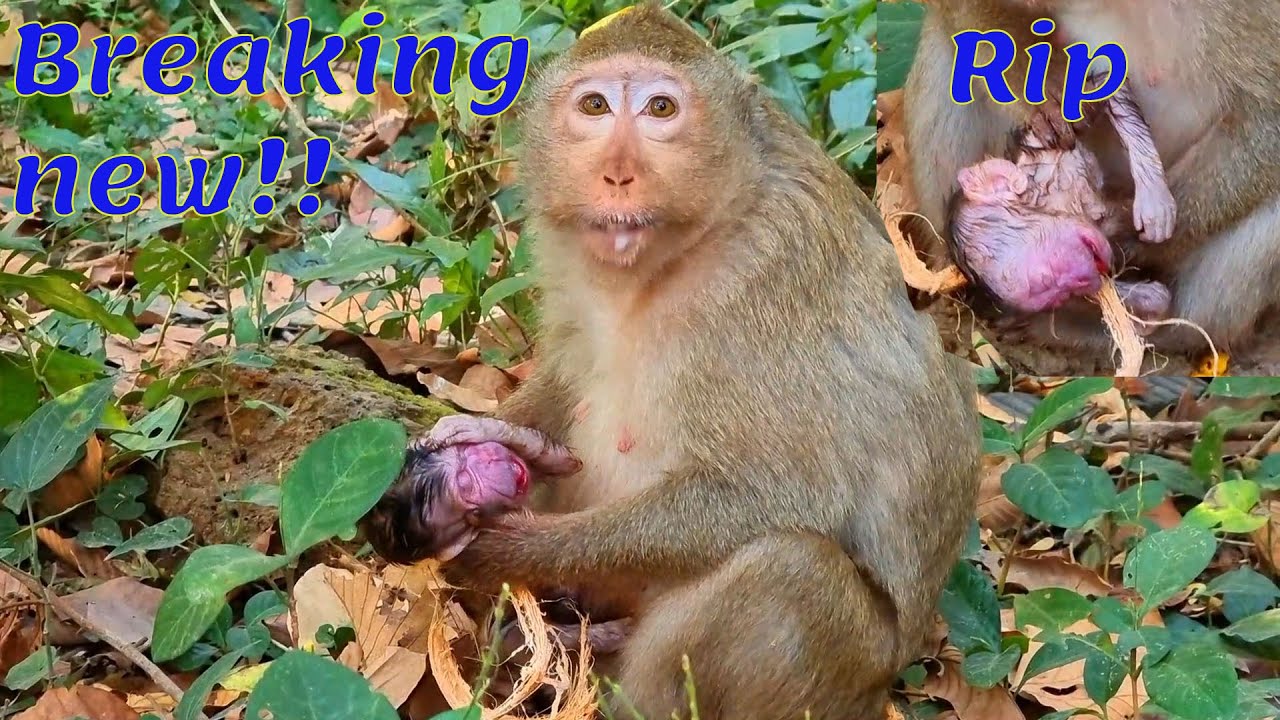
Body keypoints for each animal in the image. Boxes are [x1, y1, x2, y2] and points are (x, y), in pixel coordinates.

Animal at [409, 4, 982, 719]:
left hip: (848, 673)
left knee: (789, 573)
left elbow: (777, 491)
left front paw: (511, 551)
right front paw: (482, 435)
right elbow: (567, 381)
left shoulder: (771, 276)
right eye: (595, 105)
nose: (618, 173)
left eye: (661, 108)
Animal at [903, 0, 1280, 361]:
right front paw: (1051, 84)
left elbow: (1266, 117)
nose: (1077, 279)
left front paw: (1128, 227)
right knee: (949, 45)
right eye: (1047, 284)